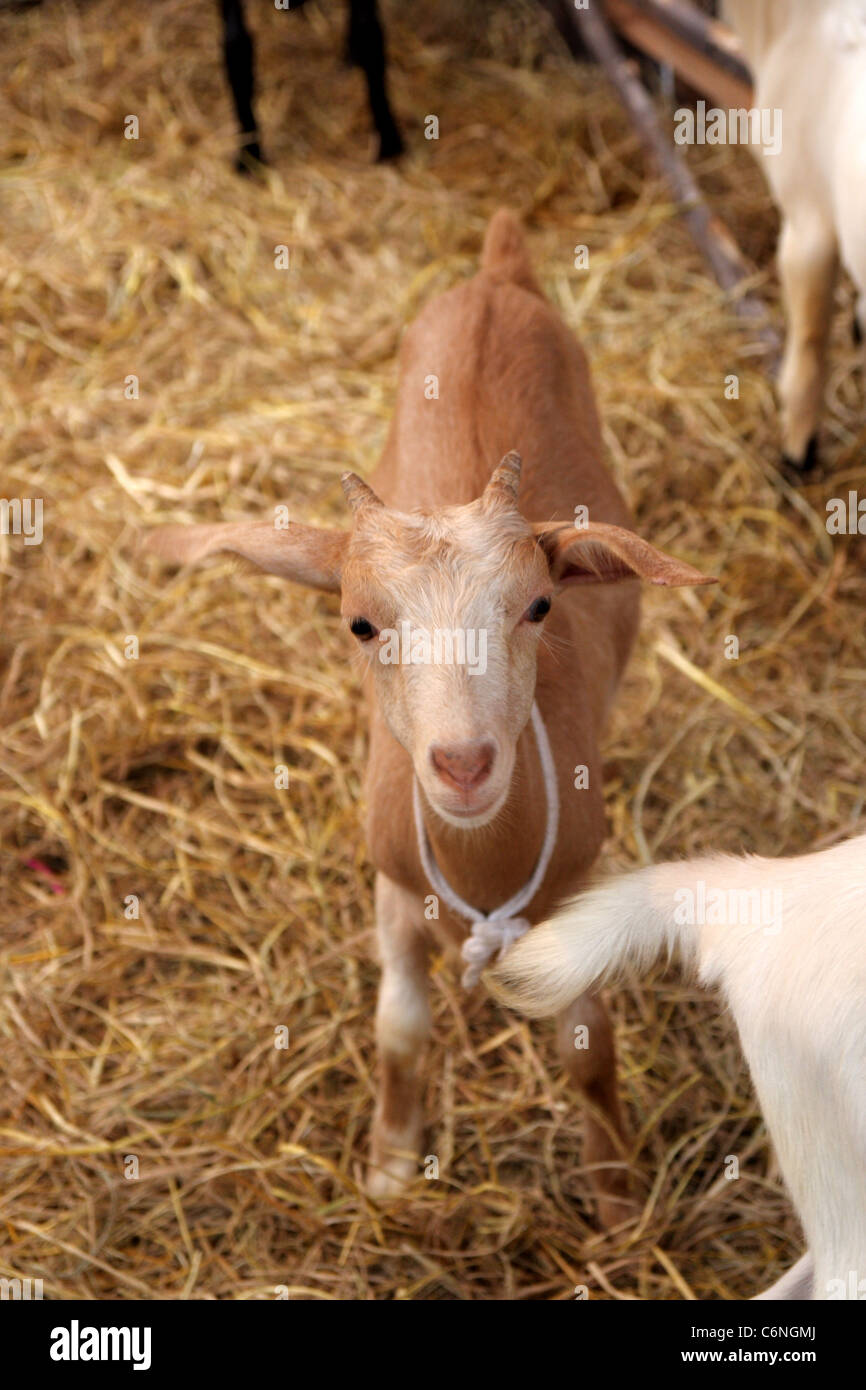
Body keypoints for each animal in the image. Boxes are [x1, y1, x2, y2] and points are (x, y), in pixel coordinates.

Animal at [144, 209, 713, 1223]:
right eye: (359, 623)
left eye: (539, 606)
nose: (462, 765)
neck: (482, 865)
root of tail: (494, 276)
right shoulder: (394, 890)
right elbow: (401, 1026)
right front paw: (390, 1168)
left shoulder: (571, 896)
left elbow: (589, 1047)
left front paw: (615, 1201)